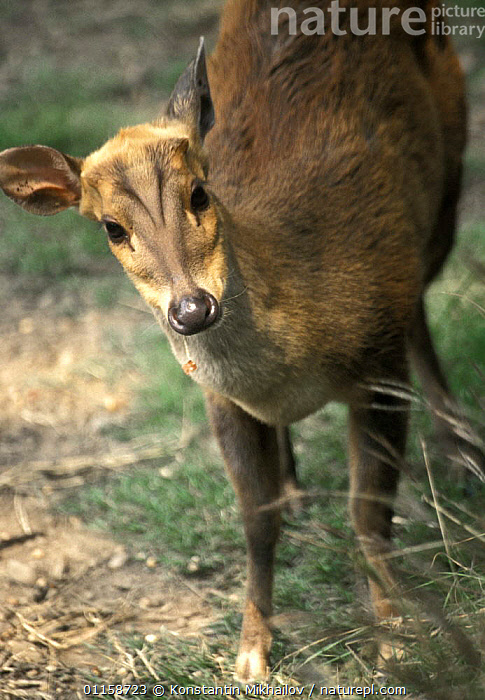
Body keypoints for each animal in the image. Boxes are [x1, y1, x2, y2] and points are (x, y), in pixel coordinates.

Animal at [0, 0, 483, 682]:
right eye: (111, 227)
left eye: (200, 192)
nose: (191, 308)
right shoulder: (221, 400)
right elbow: (256, 522)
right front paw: (252, 650)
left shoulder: (380, 361)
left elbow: (368, 511)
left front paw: (394, 633)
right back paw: (298, 484)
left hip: (446, 172)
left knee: (422, 306)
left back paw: (463, 451)